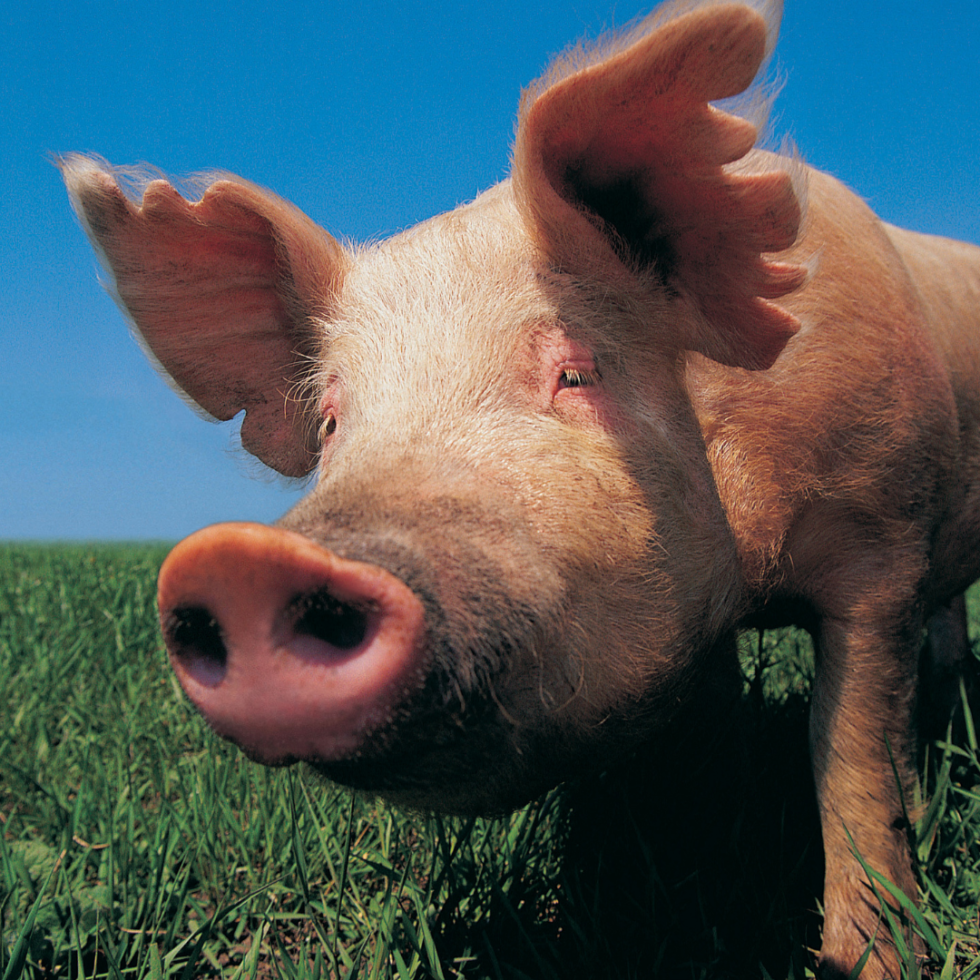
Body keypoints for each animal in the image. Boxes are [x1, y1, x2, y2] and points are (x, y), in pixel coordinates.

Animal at [60, 0, 980, 976]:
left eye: (576, 373)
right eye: (335, 421)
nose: (241, 559)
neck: (751, 581)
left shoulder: (883, 537)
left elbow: (852, 762)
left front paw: (873, 958)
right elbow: (711, 744)